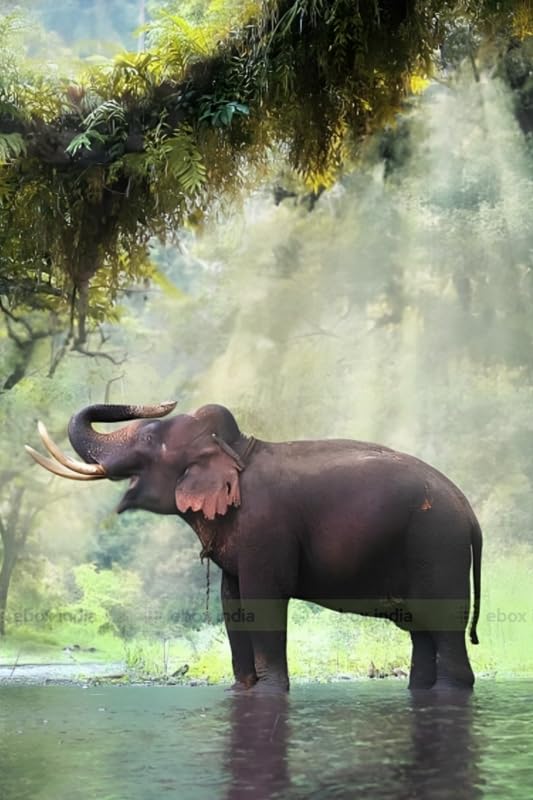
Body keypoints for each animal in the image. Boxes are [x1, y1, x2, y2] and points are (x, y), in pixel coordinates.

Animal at [26, 402, 482, 693]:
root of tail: (470, 514)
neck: (237, 448)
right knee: (422, 633)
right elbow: (233, 602)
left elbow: (264, 597)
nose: (162, 402)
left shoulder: (267, 527)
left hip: (437, 547)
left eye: (152, 436)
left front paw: (269, 692)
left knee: (444, 630)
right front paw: (241, 689)